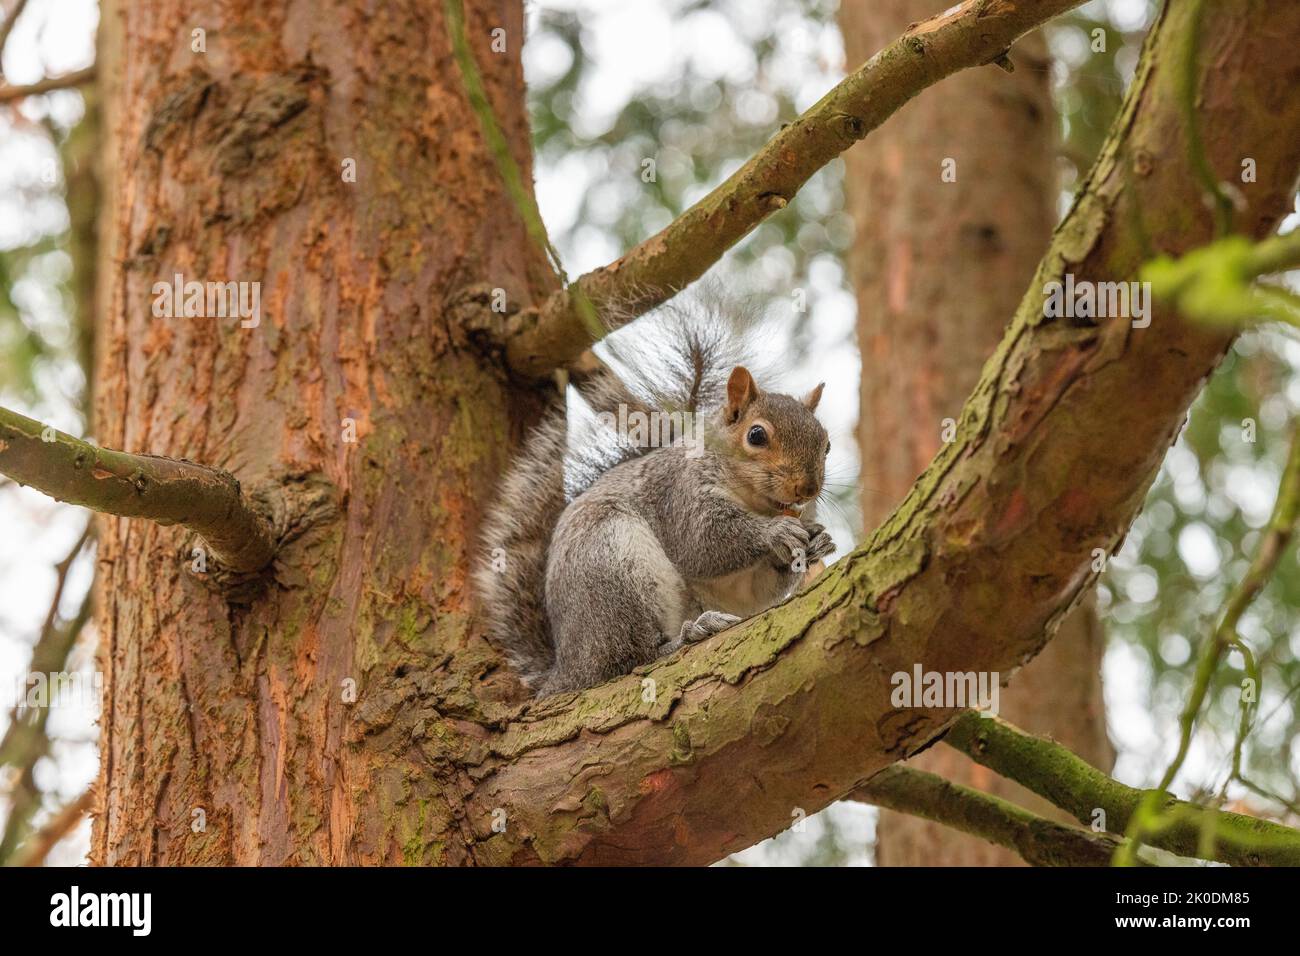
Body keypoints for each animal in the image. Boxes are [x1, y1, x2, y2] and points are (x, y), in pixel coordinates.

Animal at [475, 311, 834, 697]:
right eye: (756, 435)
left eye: (826, 444)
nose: (806, 489)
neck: (756, 501)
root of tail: (565, 672)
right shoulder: (679, 494)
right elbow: (704, 542)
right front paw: (774, 532)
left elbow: (762, 586)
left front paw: (818, 541)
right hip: (609, 565)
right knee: (631, 658)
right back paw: (687, 635)